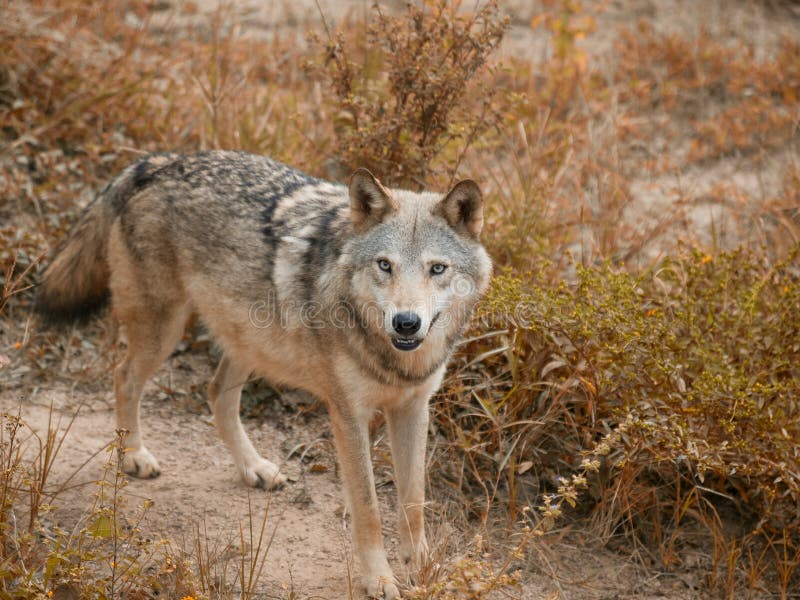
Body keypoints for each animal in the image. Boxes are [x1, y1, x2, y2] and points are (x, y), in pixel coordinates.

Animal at [35, 150, 491, 598]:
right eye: (384, 265)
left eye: (437, 269)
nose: (406, 323)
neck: (394, 360)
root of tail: (152, 162)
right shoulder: (348, 416)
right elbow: (368, 509)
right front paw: (379, 579)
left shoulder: (414, 408)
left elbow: (414, 503)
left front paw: (424, 569)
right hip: (164, 331)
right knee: (124, 377)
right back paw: (133, 455)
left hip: (247, 341)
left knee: (216, 393)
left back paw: (253, 468)